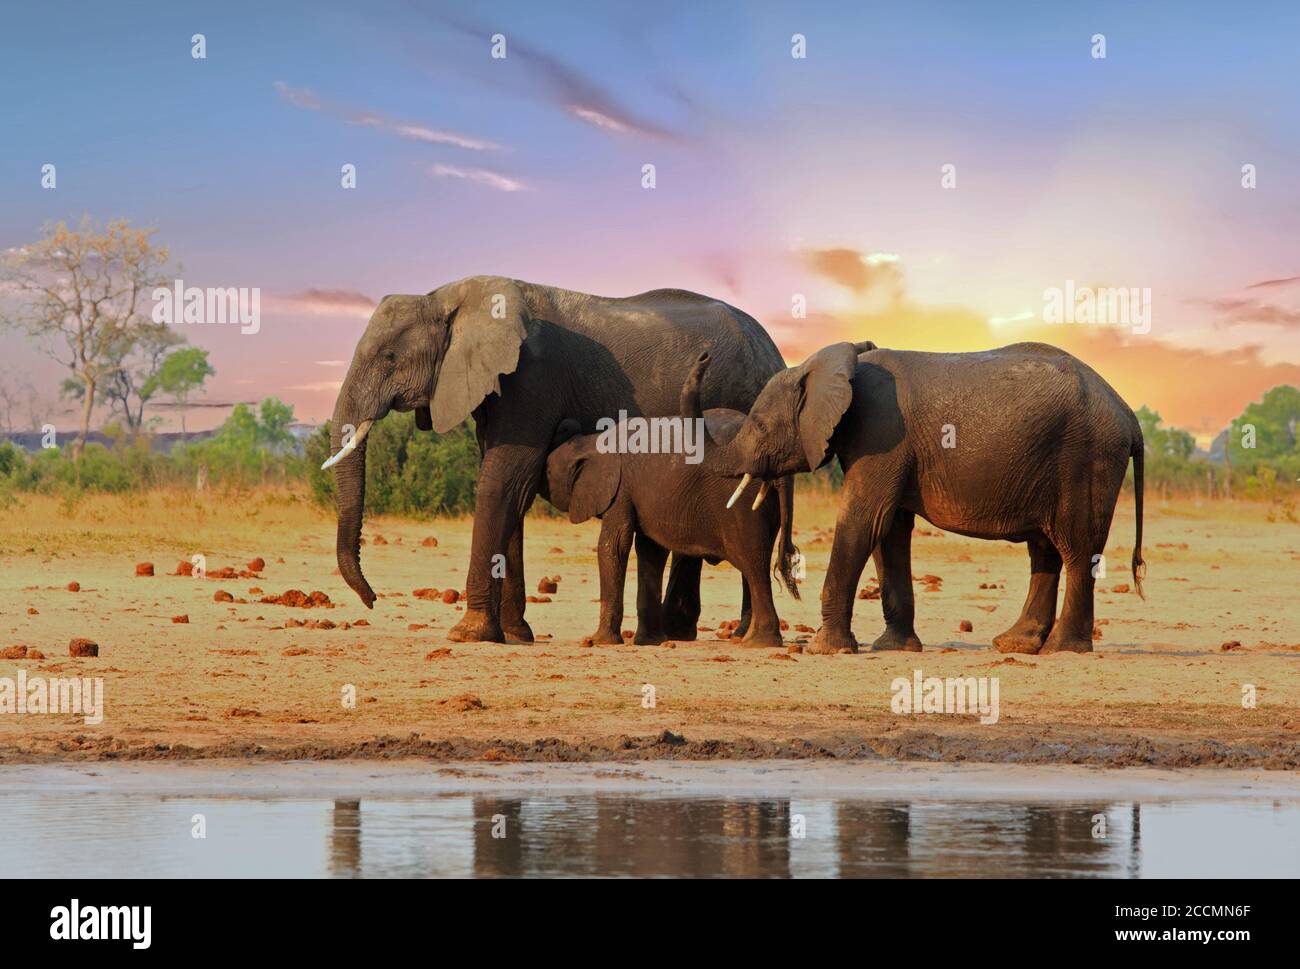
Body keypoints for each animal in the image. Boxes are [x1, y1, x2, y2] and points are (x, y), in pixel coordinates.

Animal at [542, 352, 799, 646]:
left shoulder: (621, 490)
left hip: (742, 500)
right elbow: (650, 551)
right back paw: (744, 637)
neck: (592, 442)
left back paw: (757, 642)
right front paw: (648, 641)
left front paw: (600, 641)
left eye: (547, 471)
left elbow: (613, 545)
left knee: (752, 561)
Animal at [720, 340, 1146, 655]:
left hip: (1086, 458)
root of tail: (1127, 413)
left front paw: (825, 650)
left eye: (759, 425)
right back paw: (1016, 645)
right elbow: (889, 529)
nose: (789, 570)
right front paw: (894, 648)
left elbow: (865, 518)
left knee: (1076, 547)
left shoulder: (880, 433)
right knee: (1045, 550)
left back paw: (1062, 649)